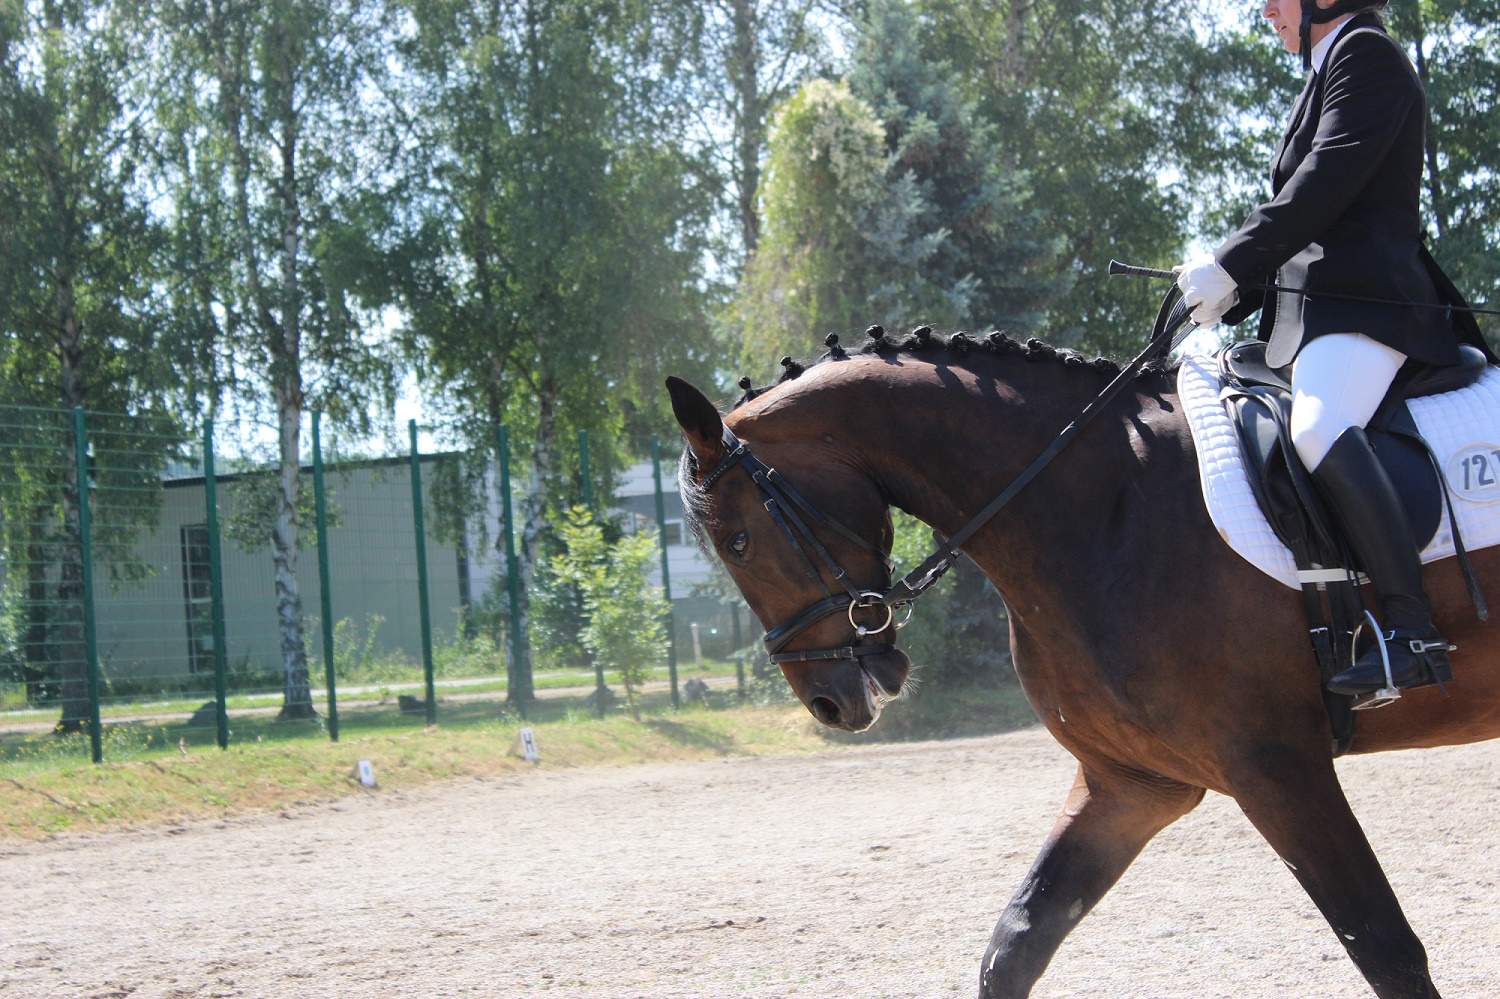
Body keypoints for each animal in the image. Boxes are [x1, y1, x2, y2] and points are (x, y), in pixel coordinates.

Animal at [665, 328, 1499, 999]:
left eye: (739, 540)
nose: (829, 702)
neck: (1104, 504)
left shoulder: (1278, 767)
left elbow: (1387, 950)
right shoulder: (1132, 782)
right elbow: (1015, 945)